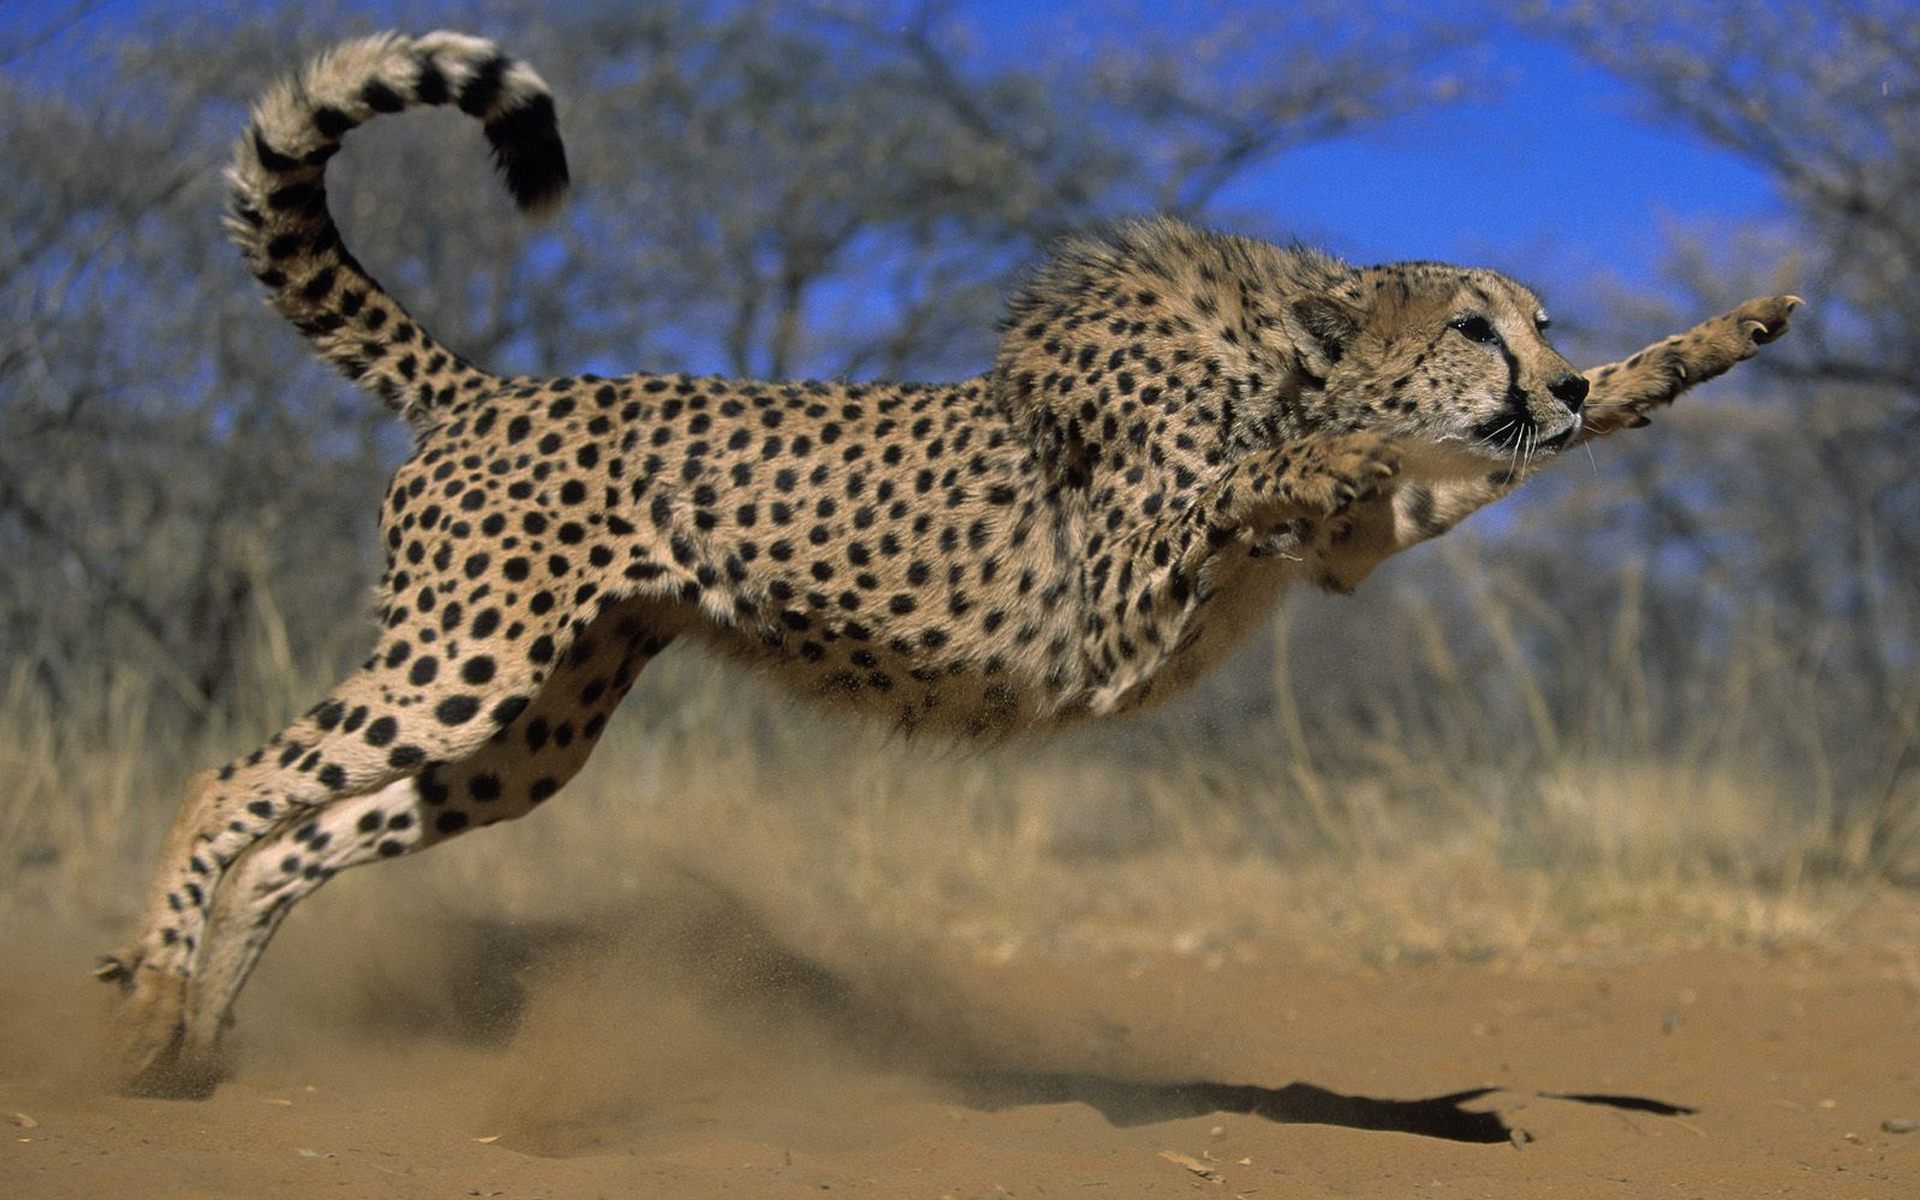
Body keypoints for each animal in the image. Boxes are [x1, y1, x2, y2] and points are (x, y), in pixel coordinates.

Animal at [97, 30, 1801, 1097]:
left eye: (1544, 323)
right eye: (1472, 325)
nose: (1552, 379)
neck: (1284, 365)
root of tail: (487, 385)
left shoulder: (1358, 549)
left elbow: (1485, 460)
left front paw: (1714, 342)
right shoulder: (1121, 584)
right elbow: (1278, 477)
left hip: (532, 730)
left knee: (307, 836)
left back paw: (203, 1039)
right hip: (465, 661)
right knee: (230, 783)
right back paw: (152, 1007)